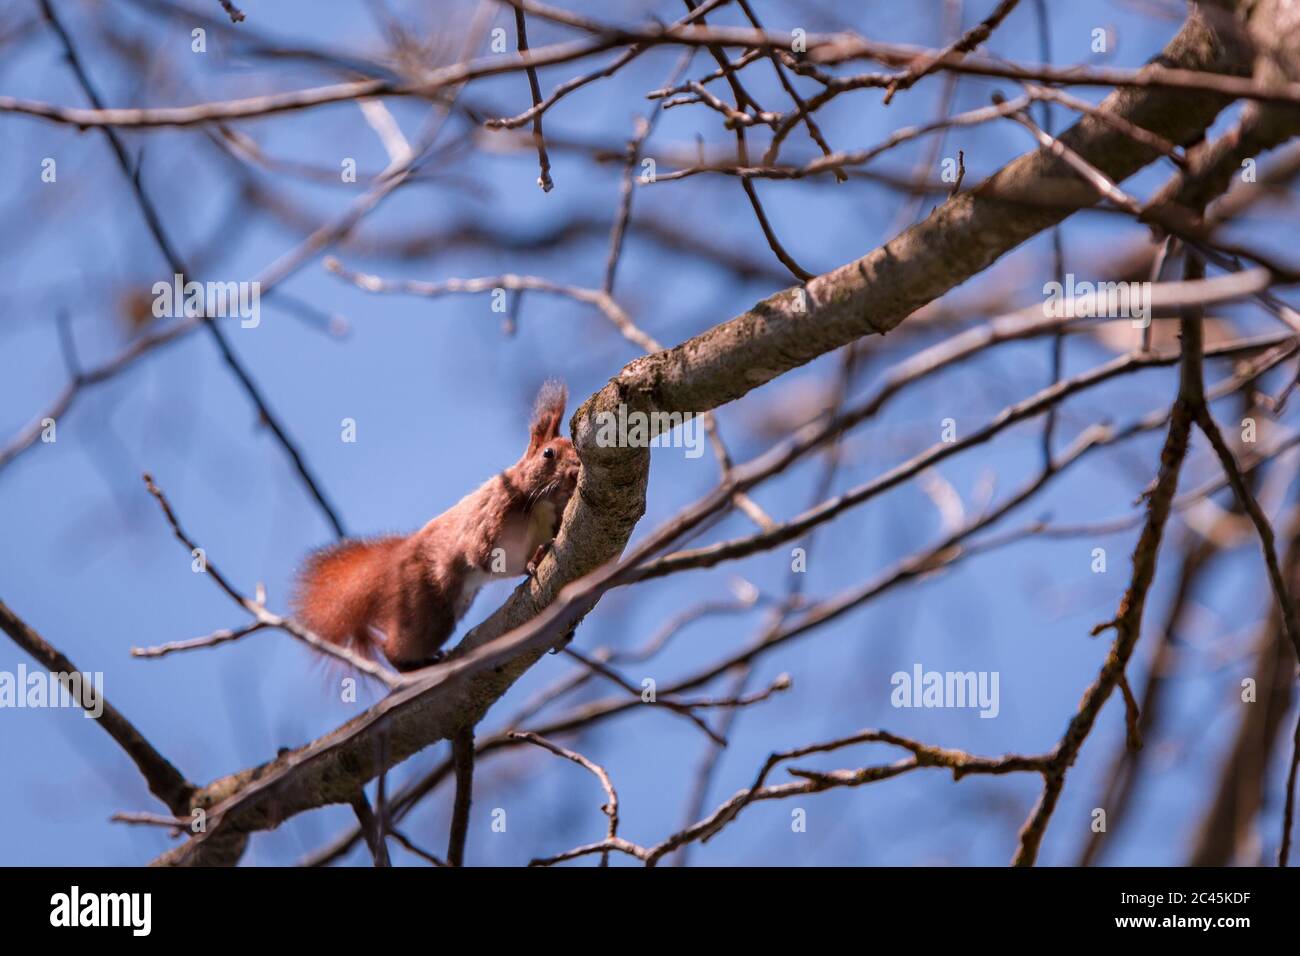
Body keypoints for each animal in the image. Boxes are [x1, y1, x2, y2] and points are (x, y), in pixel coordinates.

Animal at [293, 381, 580, 672]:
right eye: (548, 453)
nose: (575, 472)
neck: (543, 502)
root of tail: (395, 559)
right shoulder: (493, 516)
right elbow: (485, 556)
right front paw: (536, 558)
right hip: (425, 603)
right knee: (397, 646)